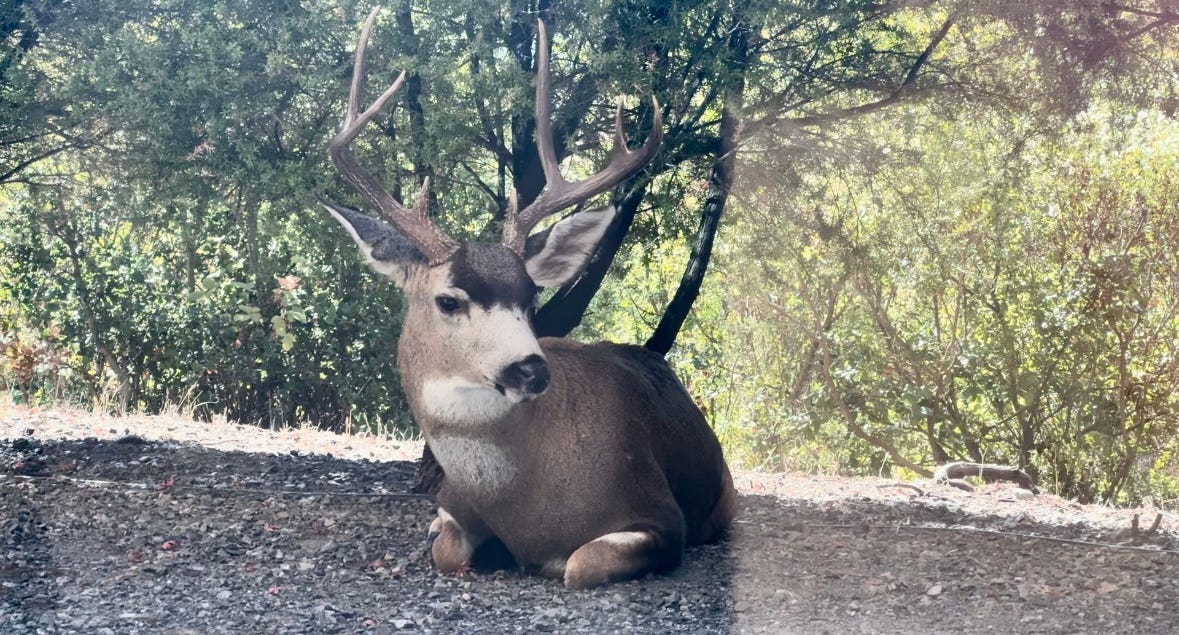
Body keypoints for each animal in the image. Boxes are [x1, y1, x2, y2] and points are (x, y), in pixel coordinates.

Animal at [322, 7, 735, 589]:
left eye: (530, 297)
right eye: (448, 301)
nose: (532, 370)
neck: (523, 501)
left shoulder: (659, 515)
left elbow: (580, 563)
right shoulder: (455, 505)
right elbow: (446, 547)